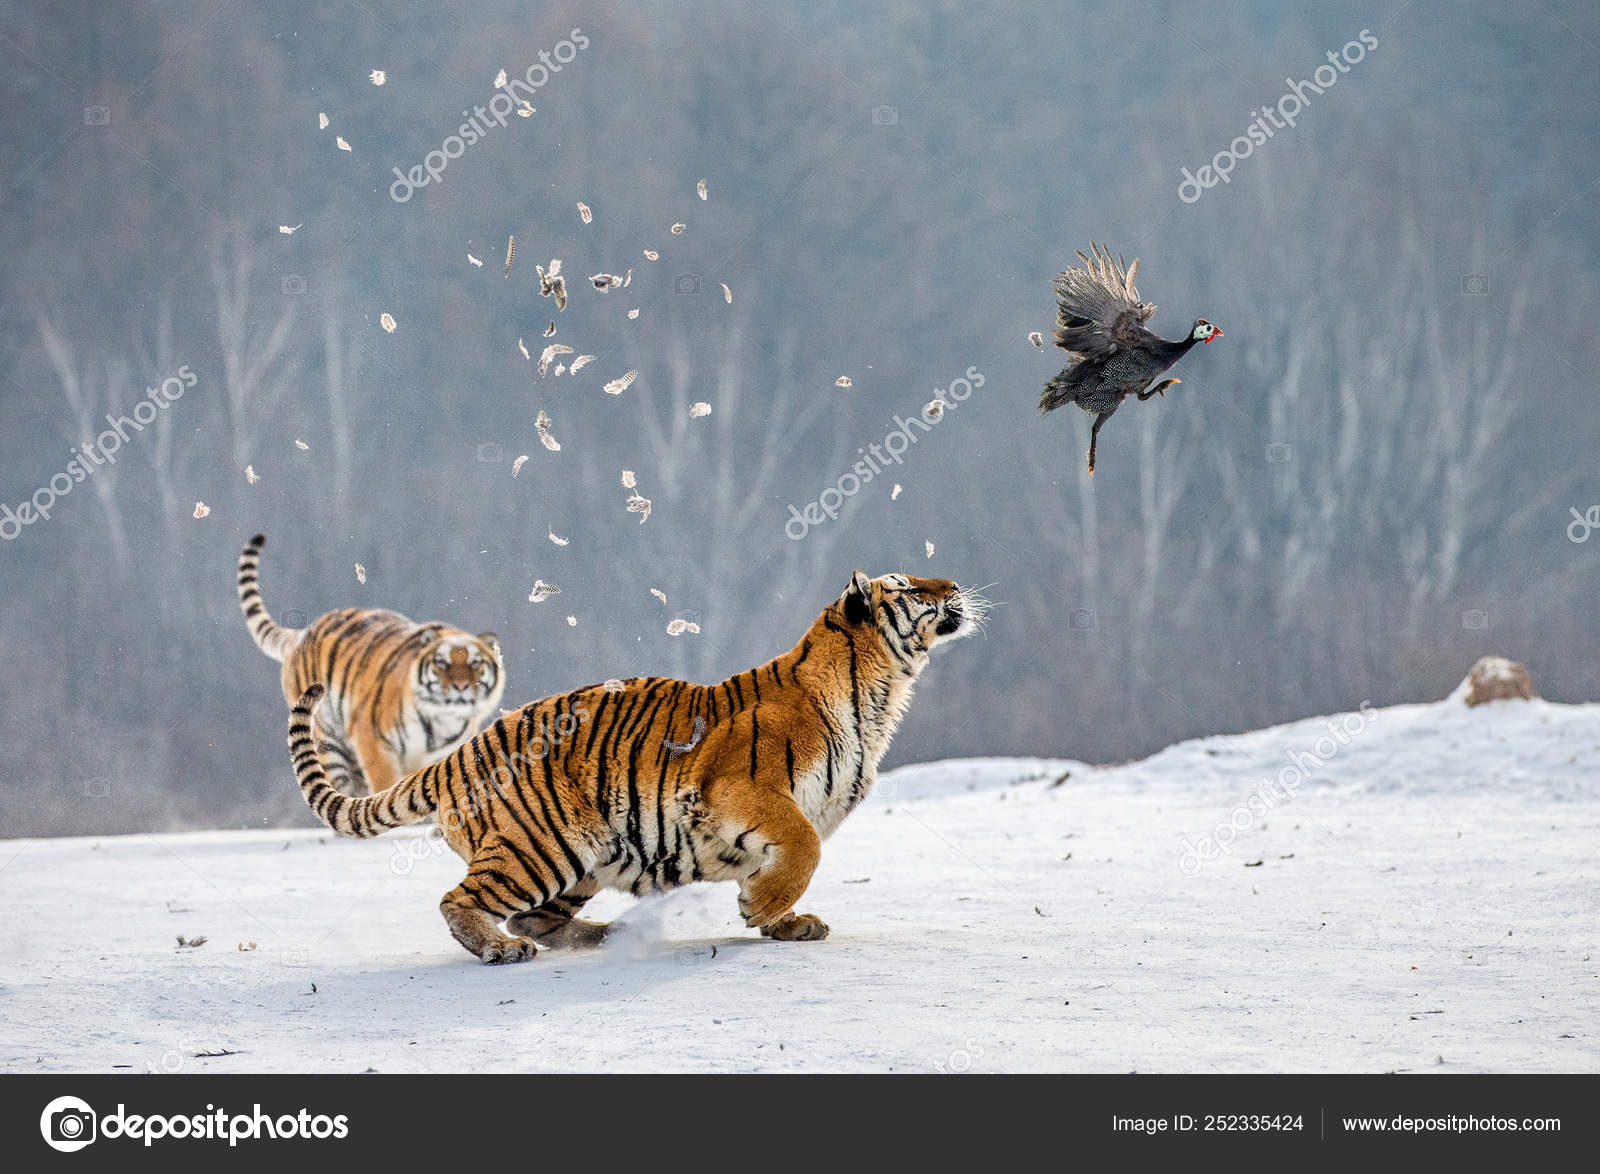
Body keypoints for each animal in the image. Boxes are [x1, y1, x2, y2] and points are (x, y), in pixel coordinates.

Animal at [240, 534, 505, 797]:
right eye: (441, 663)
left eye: (475, 663)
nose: (460, 686)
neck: (442, 723)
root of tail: (303, 633)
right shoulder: (374, 742)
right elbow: (387, 786)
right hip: (329, 745)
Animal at [286, 571, 985, 962]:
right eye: (909, 587)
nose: (953, 586)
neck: (881, 692)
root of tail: (459, 754)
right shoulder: (739, 792)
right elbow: (804, 846)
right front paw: (764, 907)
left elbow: (784, 856)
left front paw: (782, 922)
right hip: (540, 847)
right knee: (464, 901)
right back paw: (503, 950)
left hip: (586, 859)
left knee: (534, 915)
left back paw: (603, 936)